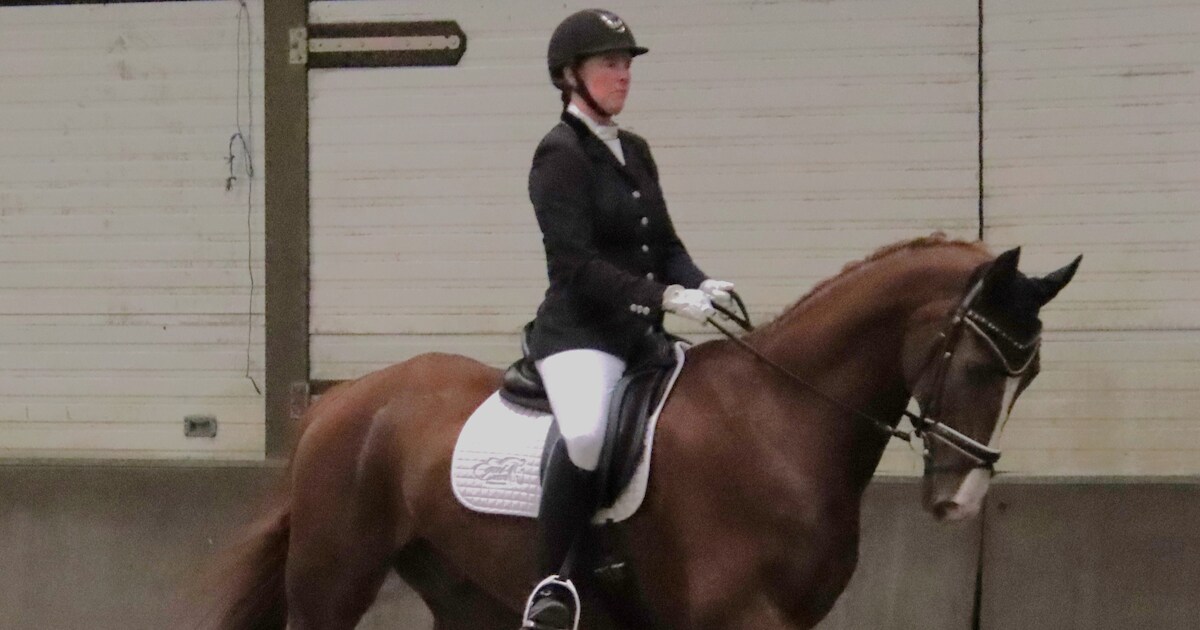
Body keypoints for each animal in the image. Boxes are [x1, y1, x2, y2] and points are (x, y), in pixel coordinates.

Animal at [201, 234, 1080, 630]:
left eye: (1031, 375)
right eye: (979, 366)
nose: (961, 500)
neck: (780, 423)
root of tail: (337, 404)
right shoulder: (743, 618)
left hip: (463, 589)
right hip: (332, 578)